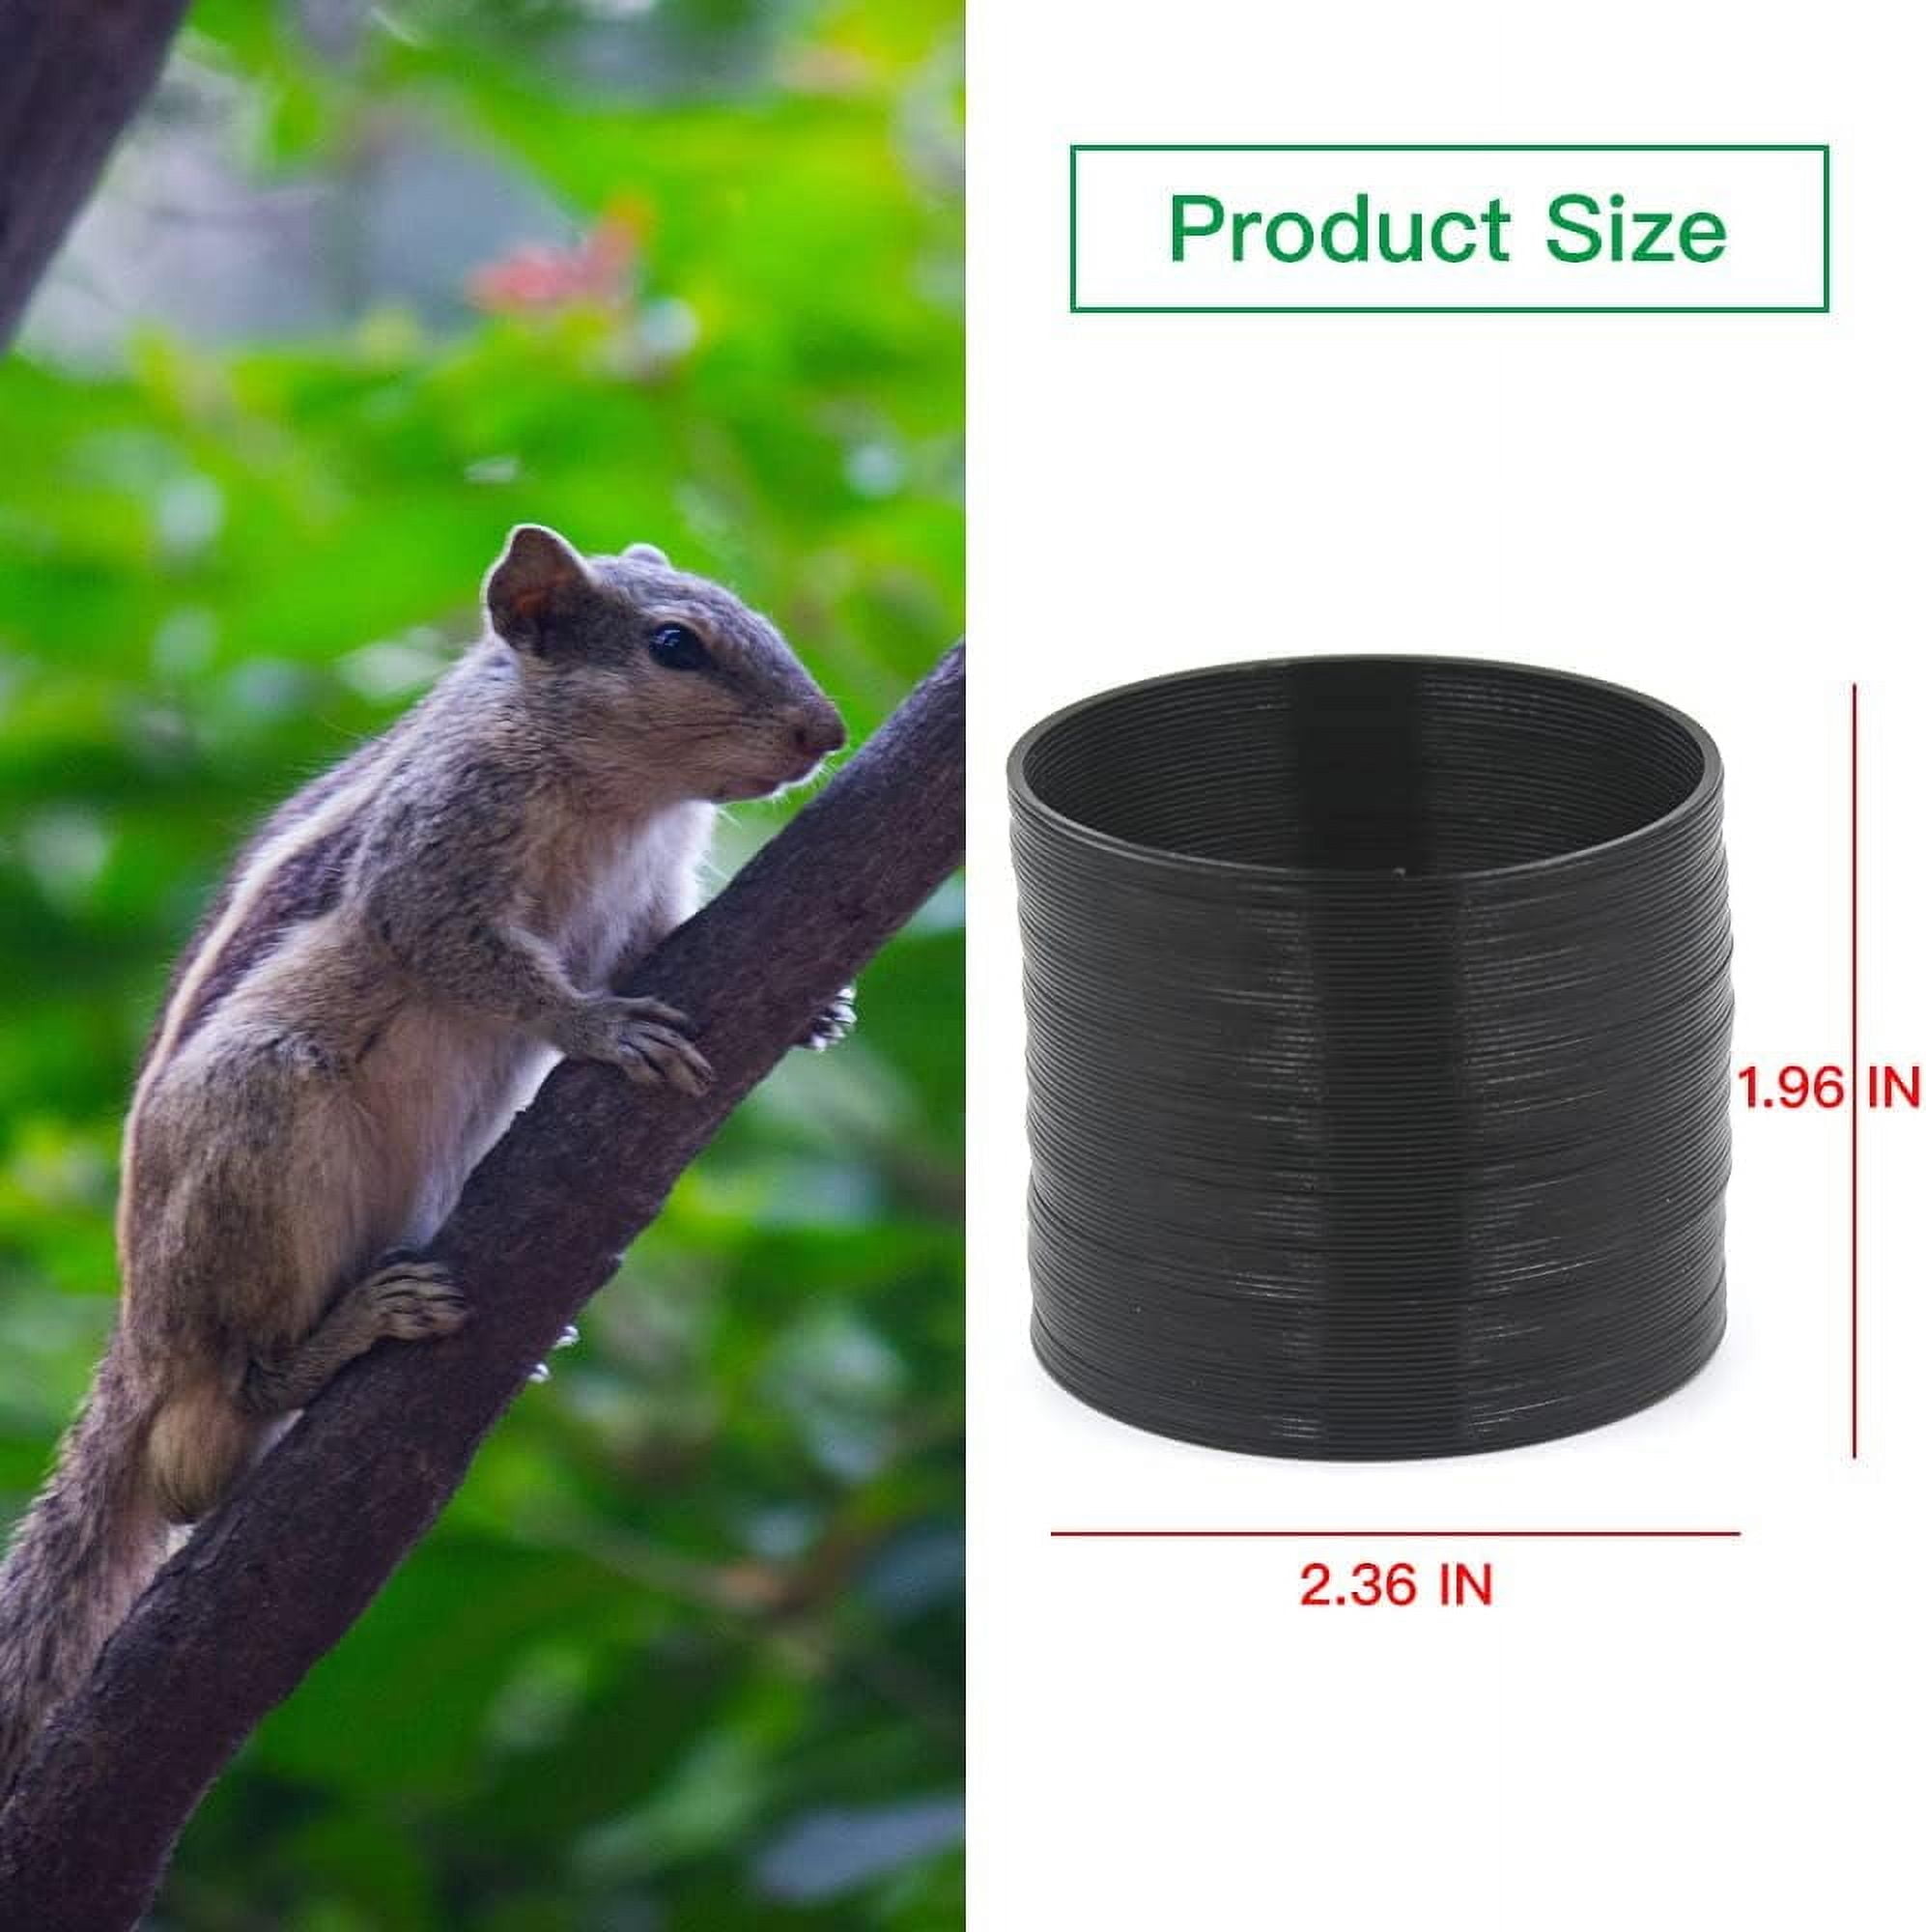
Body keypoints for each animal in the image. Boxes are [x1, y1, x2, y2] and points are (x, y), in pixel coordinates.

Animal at [0, 524, 852, 1792]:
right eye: (674, 644)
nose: (825, 734)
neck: (618, 796)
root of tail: (139, 1346)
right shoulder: (436, 850)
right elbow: (471, 953)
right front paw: (597, 1026)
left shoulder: (643, 898)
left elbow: (646, 946)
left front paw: (815, 1012)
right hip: (259, 1121)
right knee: (230, 1400)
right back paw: (350, 1329)